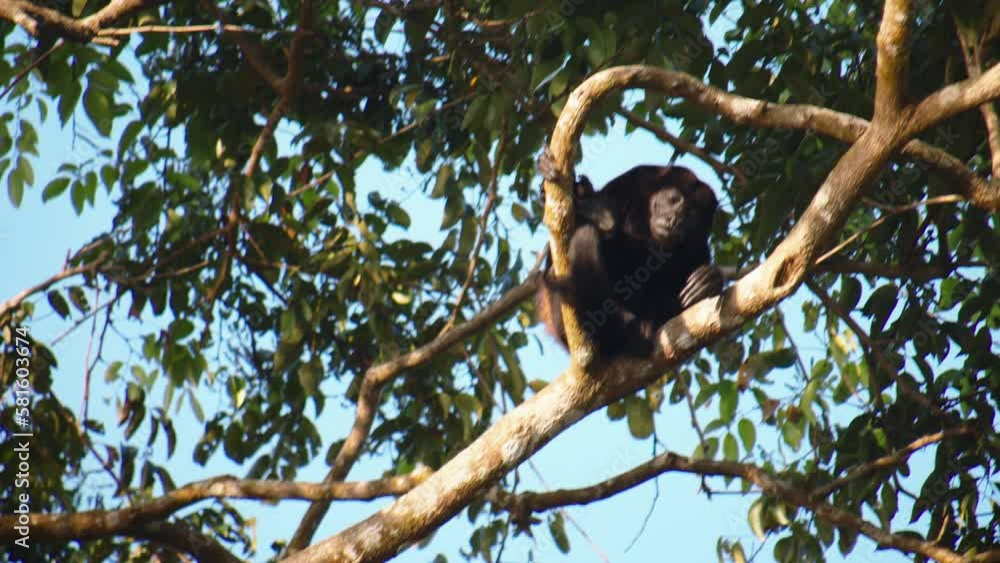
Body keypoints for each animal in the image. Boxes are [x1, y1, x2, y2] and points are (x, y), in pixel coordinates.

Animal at [536, 159, 723, 357]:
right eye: (674, 201)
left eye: (691, 216)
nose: (674, 220)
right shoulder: (634, 180)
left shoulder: (699, 243)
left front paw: (709, 281)